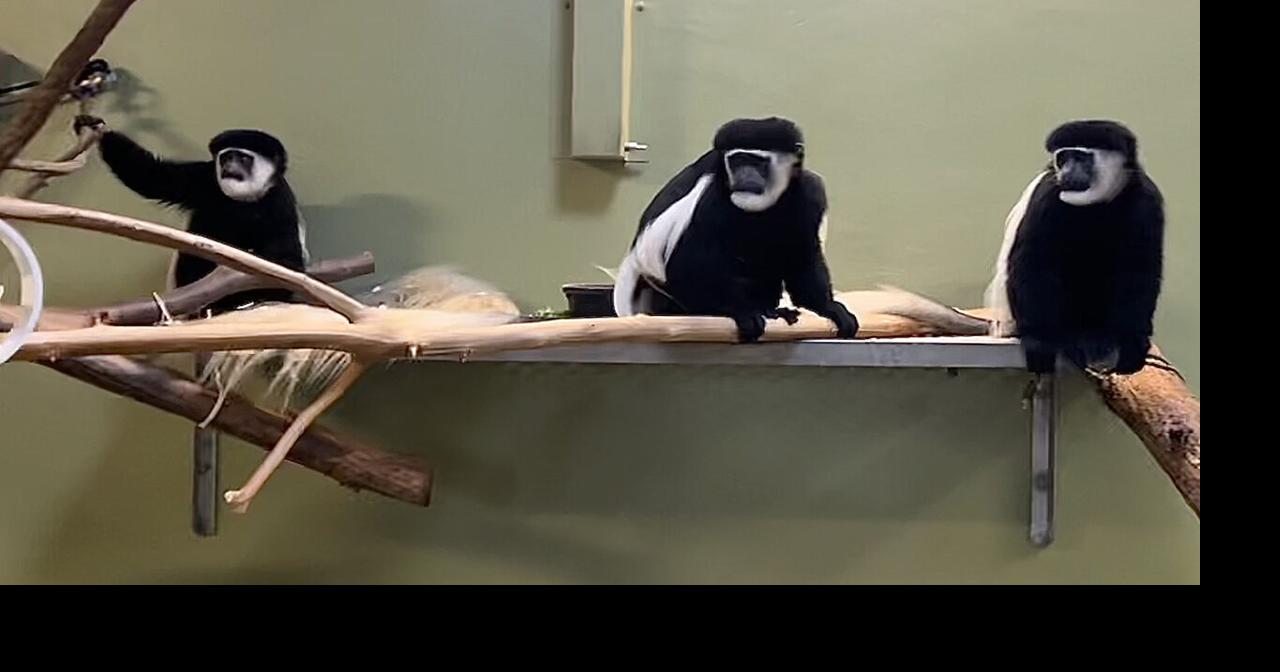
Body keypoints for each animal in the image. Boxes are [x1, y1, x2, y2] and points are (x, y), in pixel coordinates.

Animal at [76, 115, 308, 314]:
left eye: (243, 158)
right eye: (226, 157)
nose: (229, 167)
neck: (242, 201)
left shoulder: (279, 203)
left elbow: (288, 260)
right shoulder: (202, 178)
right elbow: (154, 177)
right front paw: (97, 129)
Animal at [612, 116, 858, 343]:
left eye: (757, 162)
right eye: (737, 161)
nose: (743, 176)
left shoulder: (808, 195)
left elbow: (802, 259)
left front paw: (829, 307)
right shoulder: (709, 199)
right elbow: (686, 262)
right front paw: (741, 312)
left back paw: (773, 310)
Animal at [985, 119, 1165, 374]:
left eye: (1079, 158)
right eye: (1063, 158)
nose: (1066, 173)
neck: (1097, 204)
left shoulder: (1147, 200)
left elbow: (1140, 269)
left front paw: (1132, 343)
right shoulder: (1047, 195)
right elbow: (1034, 260)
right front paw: (1041, 342)